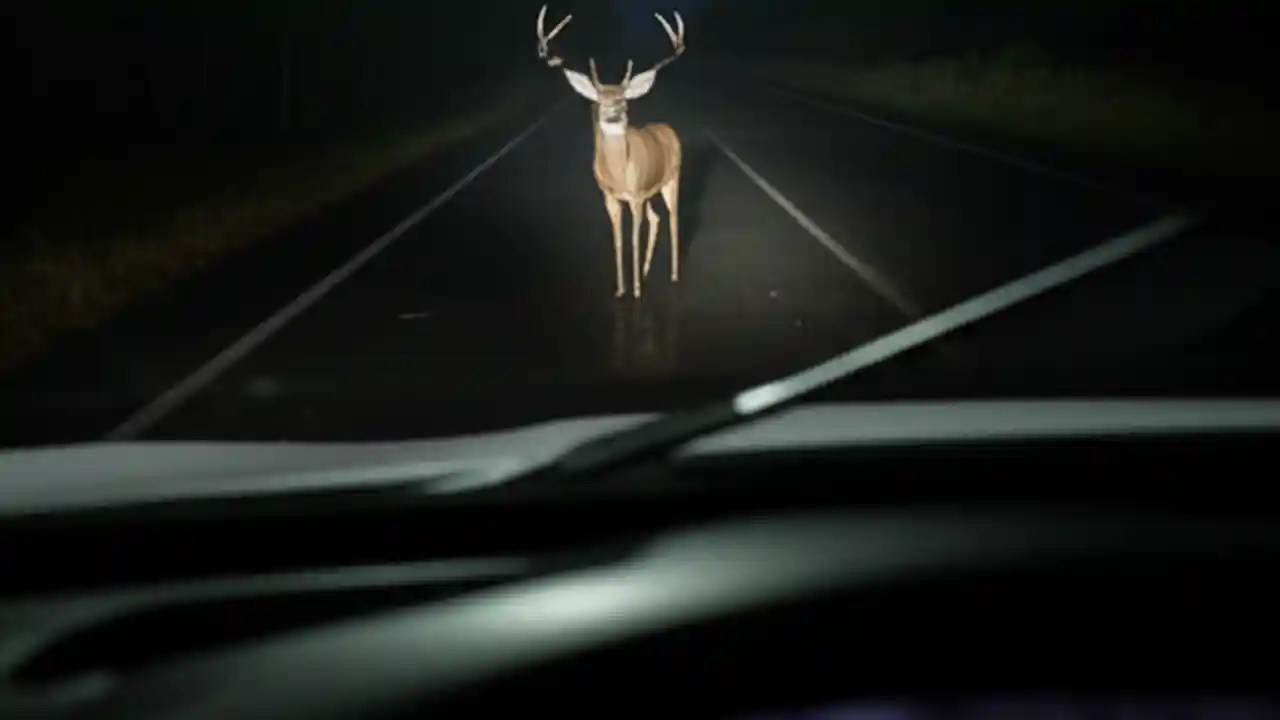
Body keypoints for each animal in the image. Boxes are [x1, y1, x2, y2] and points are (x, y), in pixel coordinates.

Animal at [537, 5, 686, 299]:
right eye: (600, 101)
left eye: (624, 101)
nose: (614, 113)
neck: (619, 171)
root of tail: (668, 129)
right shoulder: (610, 196)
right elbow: (617, 240)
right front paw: (620, 289)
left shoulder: (636, 196)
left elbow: (633, 240)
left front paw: (636, 292)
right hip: (650, 192)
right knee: (657, 219)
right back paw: (646, 271)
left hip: (672, 178)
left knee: (674, 220)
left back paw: (673, 275)